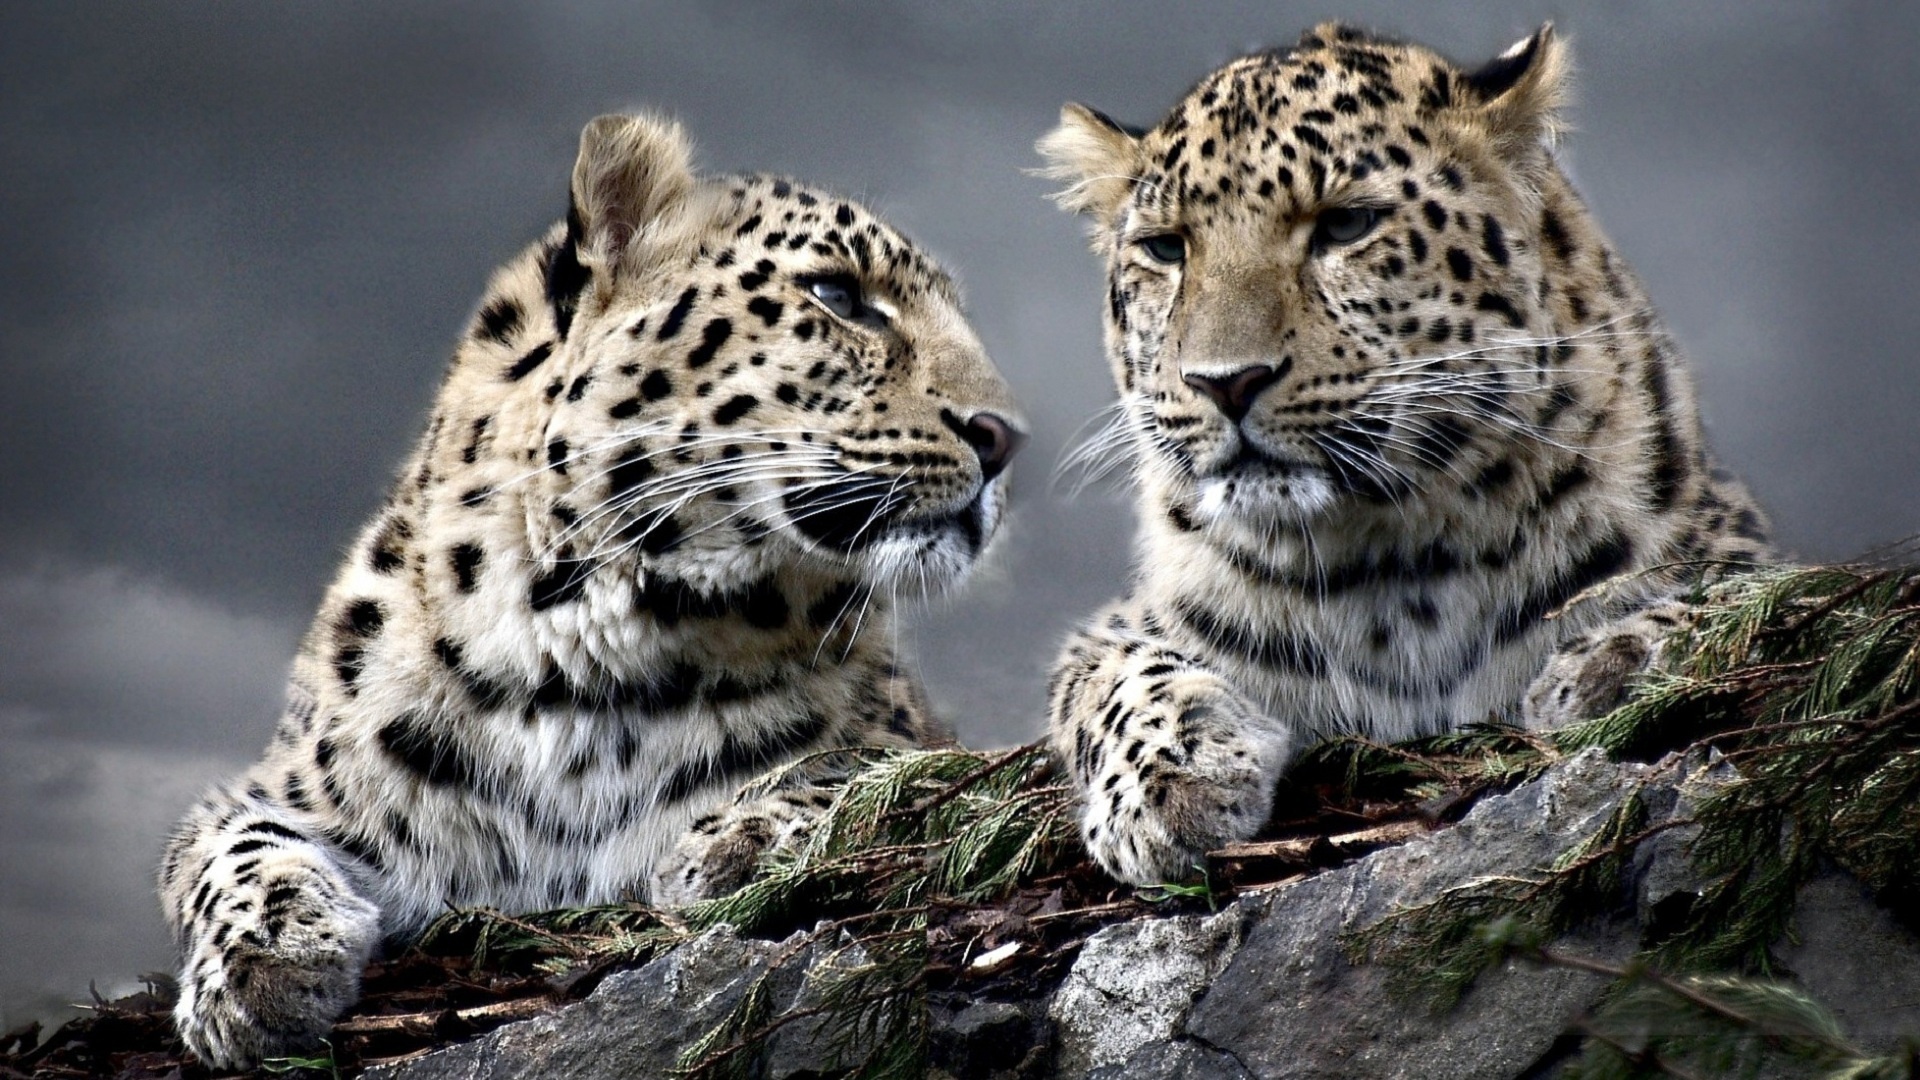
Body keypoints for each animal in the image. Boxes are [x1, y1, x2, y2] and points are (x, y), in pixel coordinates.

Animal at [156, 112, 1023, 1068]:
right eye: (838, 295)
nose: (1006, 437)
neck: (581, 659)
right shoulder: (273, 792)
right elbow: (232, 849)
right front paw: (261, 966)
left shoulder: (928, 748)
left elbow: (878, 768)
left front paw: (747, 835)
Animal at [1037, 23, 1772, 886]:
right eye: (1164, 248)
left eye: (1346, 226)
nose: (1225, 381)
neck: (1390, 564)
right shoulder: (1119, 626)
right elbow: (1114, 679)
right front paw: (1169, 777)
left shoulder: (1734, 543)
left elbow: (1728, 593)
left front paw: (1616, 659)